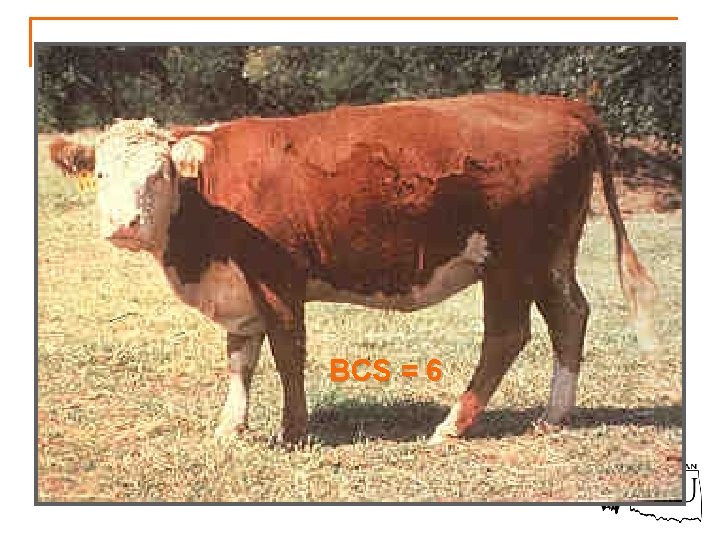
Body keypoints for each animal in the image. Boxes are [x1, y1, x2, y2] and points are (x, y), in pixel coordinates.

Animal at [50, 92, 657, 446]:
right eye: (101, 173)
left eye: (159, 174)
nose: (124, 224)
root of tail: (559, 104)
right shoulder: (239, 288)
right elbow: (241, 357)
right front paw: (229, 428)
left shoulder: (277, 276)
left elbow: (286, 351)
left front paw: (293, 433)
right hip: (552, 254)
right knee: (570, 314)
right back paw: (554, 415)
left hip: (509, 258)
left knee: (508, 334)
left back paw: (450, 426)